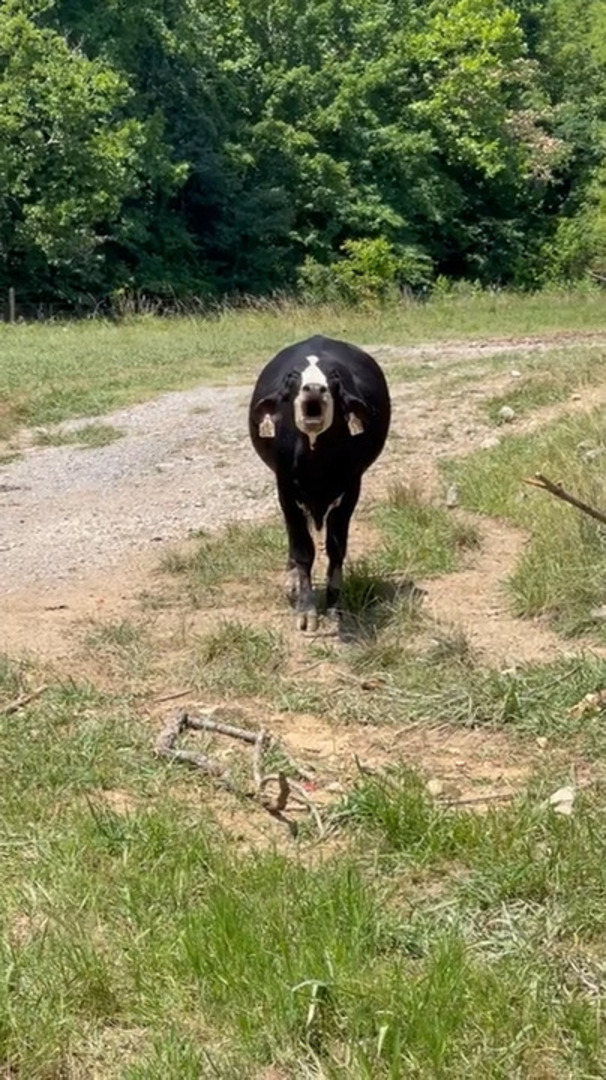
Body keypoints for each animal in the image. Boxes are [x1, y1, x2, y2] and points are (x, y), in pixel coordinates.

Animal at [248, 334, 391, 631]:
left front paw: (335, 605)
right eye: (293, 377)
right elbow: (303, 551)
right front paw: (306, 609)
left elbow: (336, 548)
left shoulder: (351, 489)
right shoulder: (285, 490)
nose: (314, 387)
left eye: (334, 377)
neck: (315, 465)